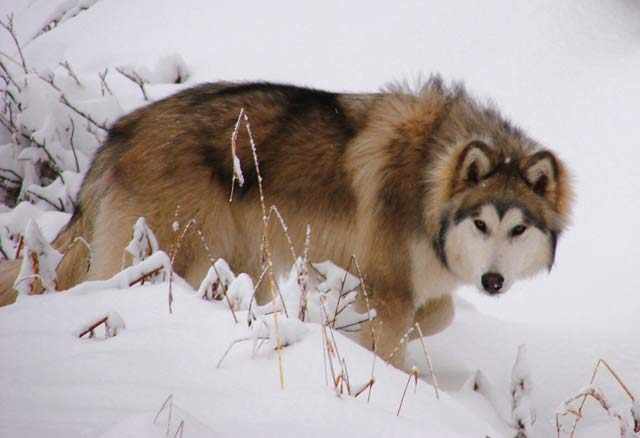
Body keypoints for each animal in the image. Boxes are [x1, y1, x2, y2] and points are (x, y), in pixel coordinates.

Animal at [0, 77, 573, 367]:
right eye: (481, 224)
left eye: (517, 229)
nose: (493, 281)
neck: (428, 182)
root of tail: (119, 132)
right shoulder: (389, 286)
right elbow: (395, 339)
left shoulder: (405, 285)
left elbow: (440, 315)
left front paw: (347, 329)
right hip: (177, 258)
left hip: (243, 262)